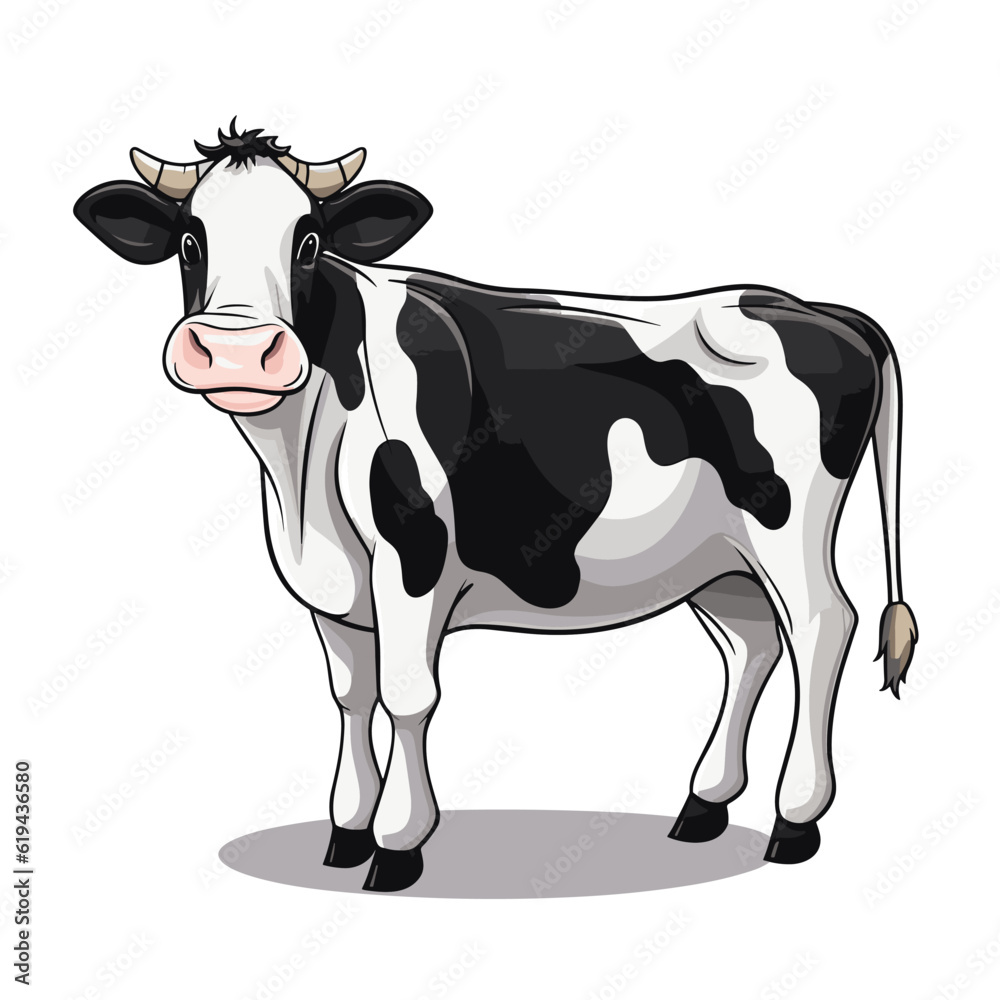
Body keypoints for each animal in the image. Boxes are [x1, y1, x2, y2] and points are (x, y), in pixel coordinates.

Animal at [74, 121, 918, 892]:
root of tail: (809, 308)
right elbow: (351, 697)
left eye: (308, 241)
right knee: (751, 644)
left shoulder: (411, 554)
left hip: (787, 528)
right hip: (719, 557)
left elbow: (406, 696)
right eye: (190, 241)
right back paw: (704, 806)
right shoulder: (333, 587)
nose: (238, 353)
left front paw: (398, 845)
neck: (300, 474)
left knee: (820, 627)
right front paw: (346, 831)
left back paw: (793, 820)